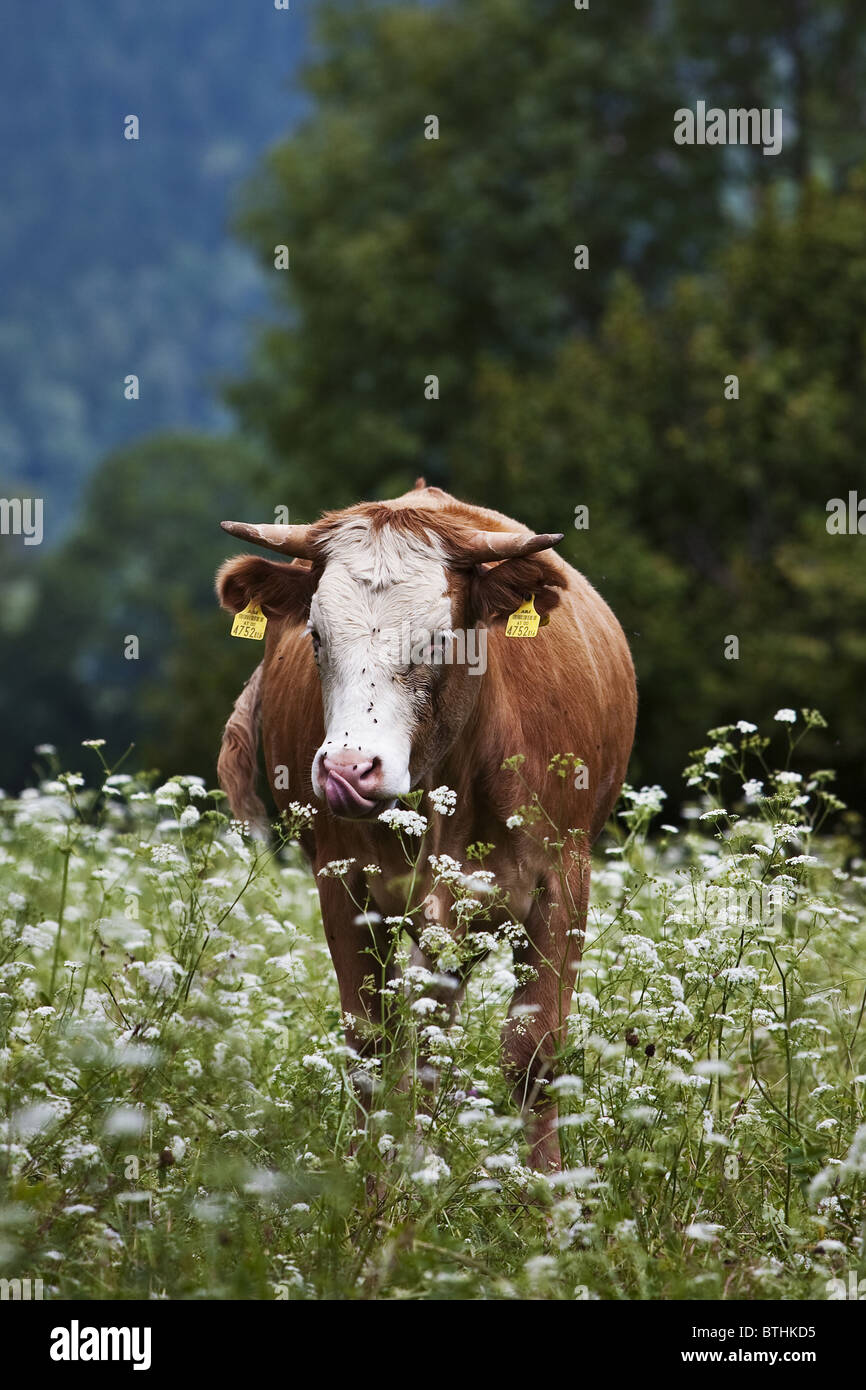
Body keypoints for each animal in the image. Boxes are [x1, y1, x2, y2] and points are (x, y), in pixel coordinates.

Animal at [215, 481, 636, 1170]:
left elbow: (532, 1056)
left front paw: (550, 1195)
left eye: (439, 642)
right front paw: (371, 1186)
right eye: (316, 636)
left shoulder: (563, 882)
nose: (349, 769)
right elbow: (371, 1047)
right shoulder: (345, 886)